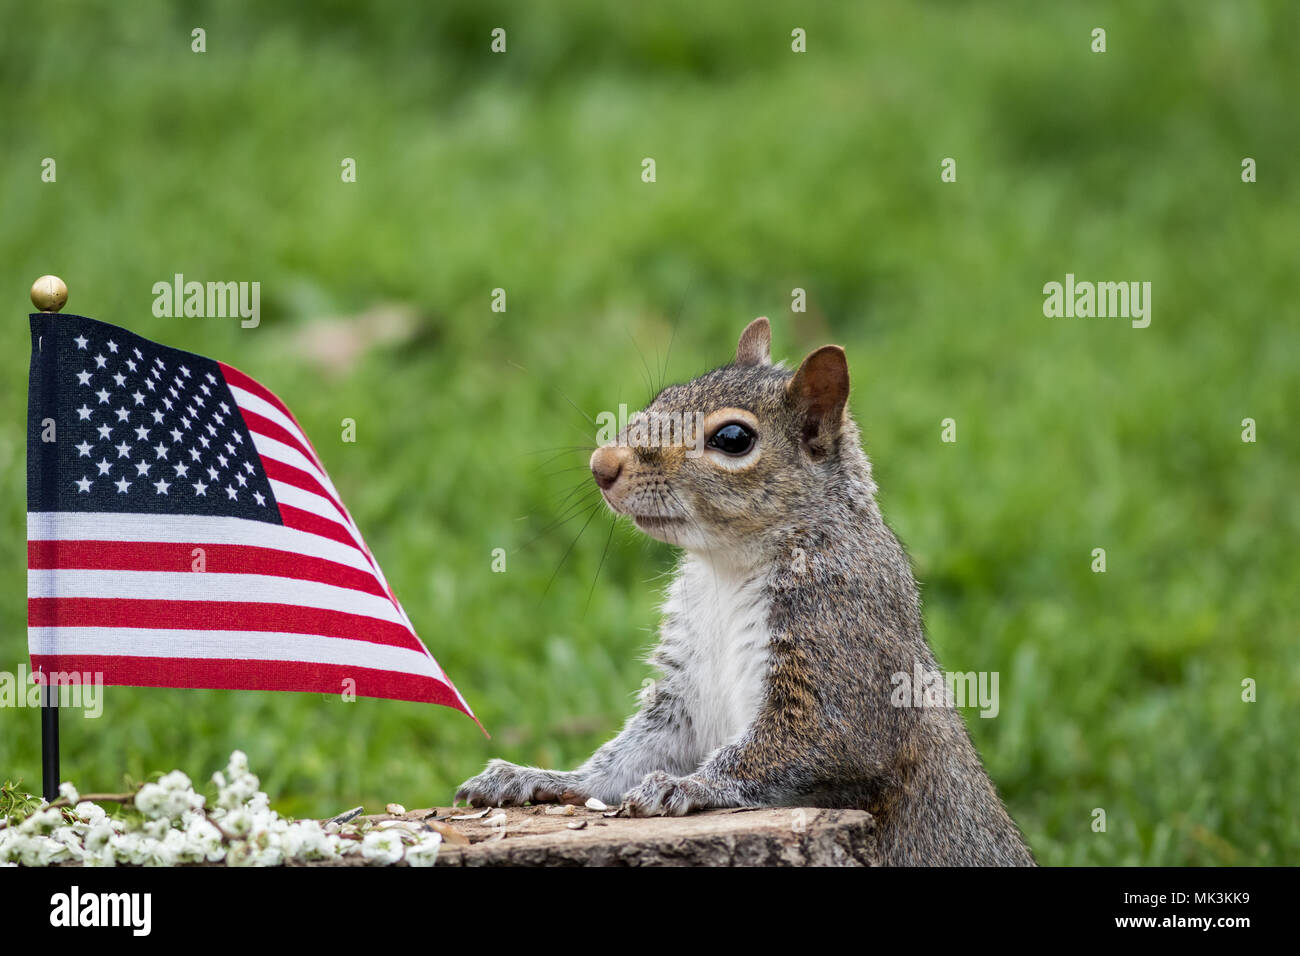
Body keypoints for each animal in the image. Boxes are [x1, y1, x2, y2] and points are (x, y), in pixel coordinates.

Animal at [456, 317, 1035, 866]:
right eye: (660, 398)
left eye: (733, 439)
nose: (602, 465)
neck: (726, 569)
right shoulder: (686, 688)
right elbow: (634, 754)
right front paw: (541, 777)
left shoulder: (841, 637)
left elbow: (806, 743)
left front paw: (686, 785)